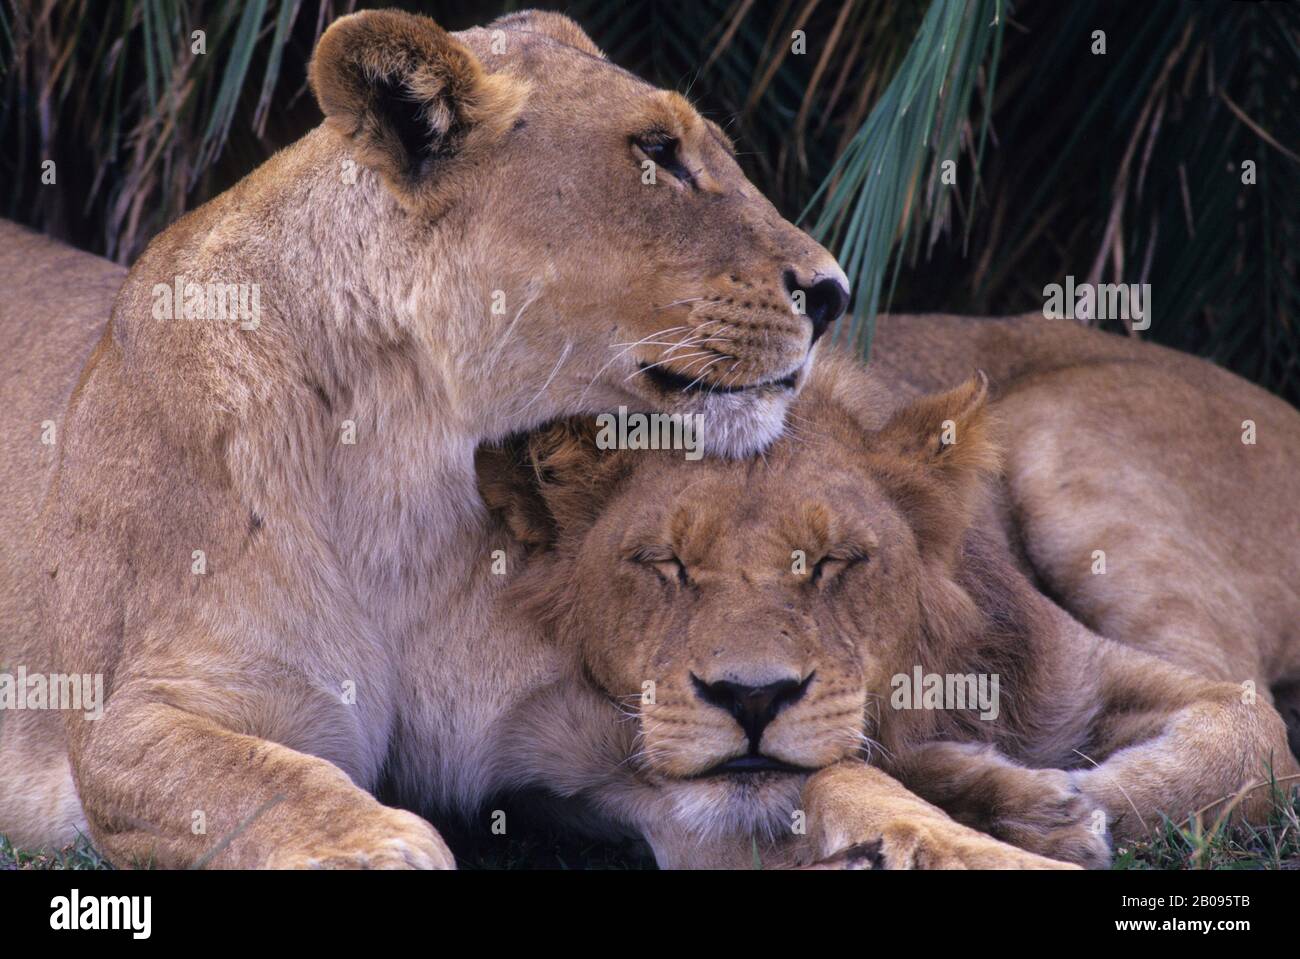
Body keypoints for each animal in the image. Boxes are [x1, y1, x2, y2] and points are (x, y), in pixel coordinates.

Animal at [0, 9, 848, 867]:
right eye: (659, 152)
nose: (835, 293)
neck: (410, 465)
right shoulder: (130, 713)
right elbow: (265, 778)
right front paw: (379, 842)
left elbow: (793, 785)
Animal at [474, 327, 1300, 869]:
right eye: (664, 563)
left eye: (834, 561)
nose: (751, 697)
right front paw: (1019, 804)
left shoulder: (1089, 674)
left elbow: (1253, 737)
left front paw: (1069, 803)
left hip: (1074, 438)